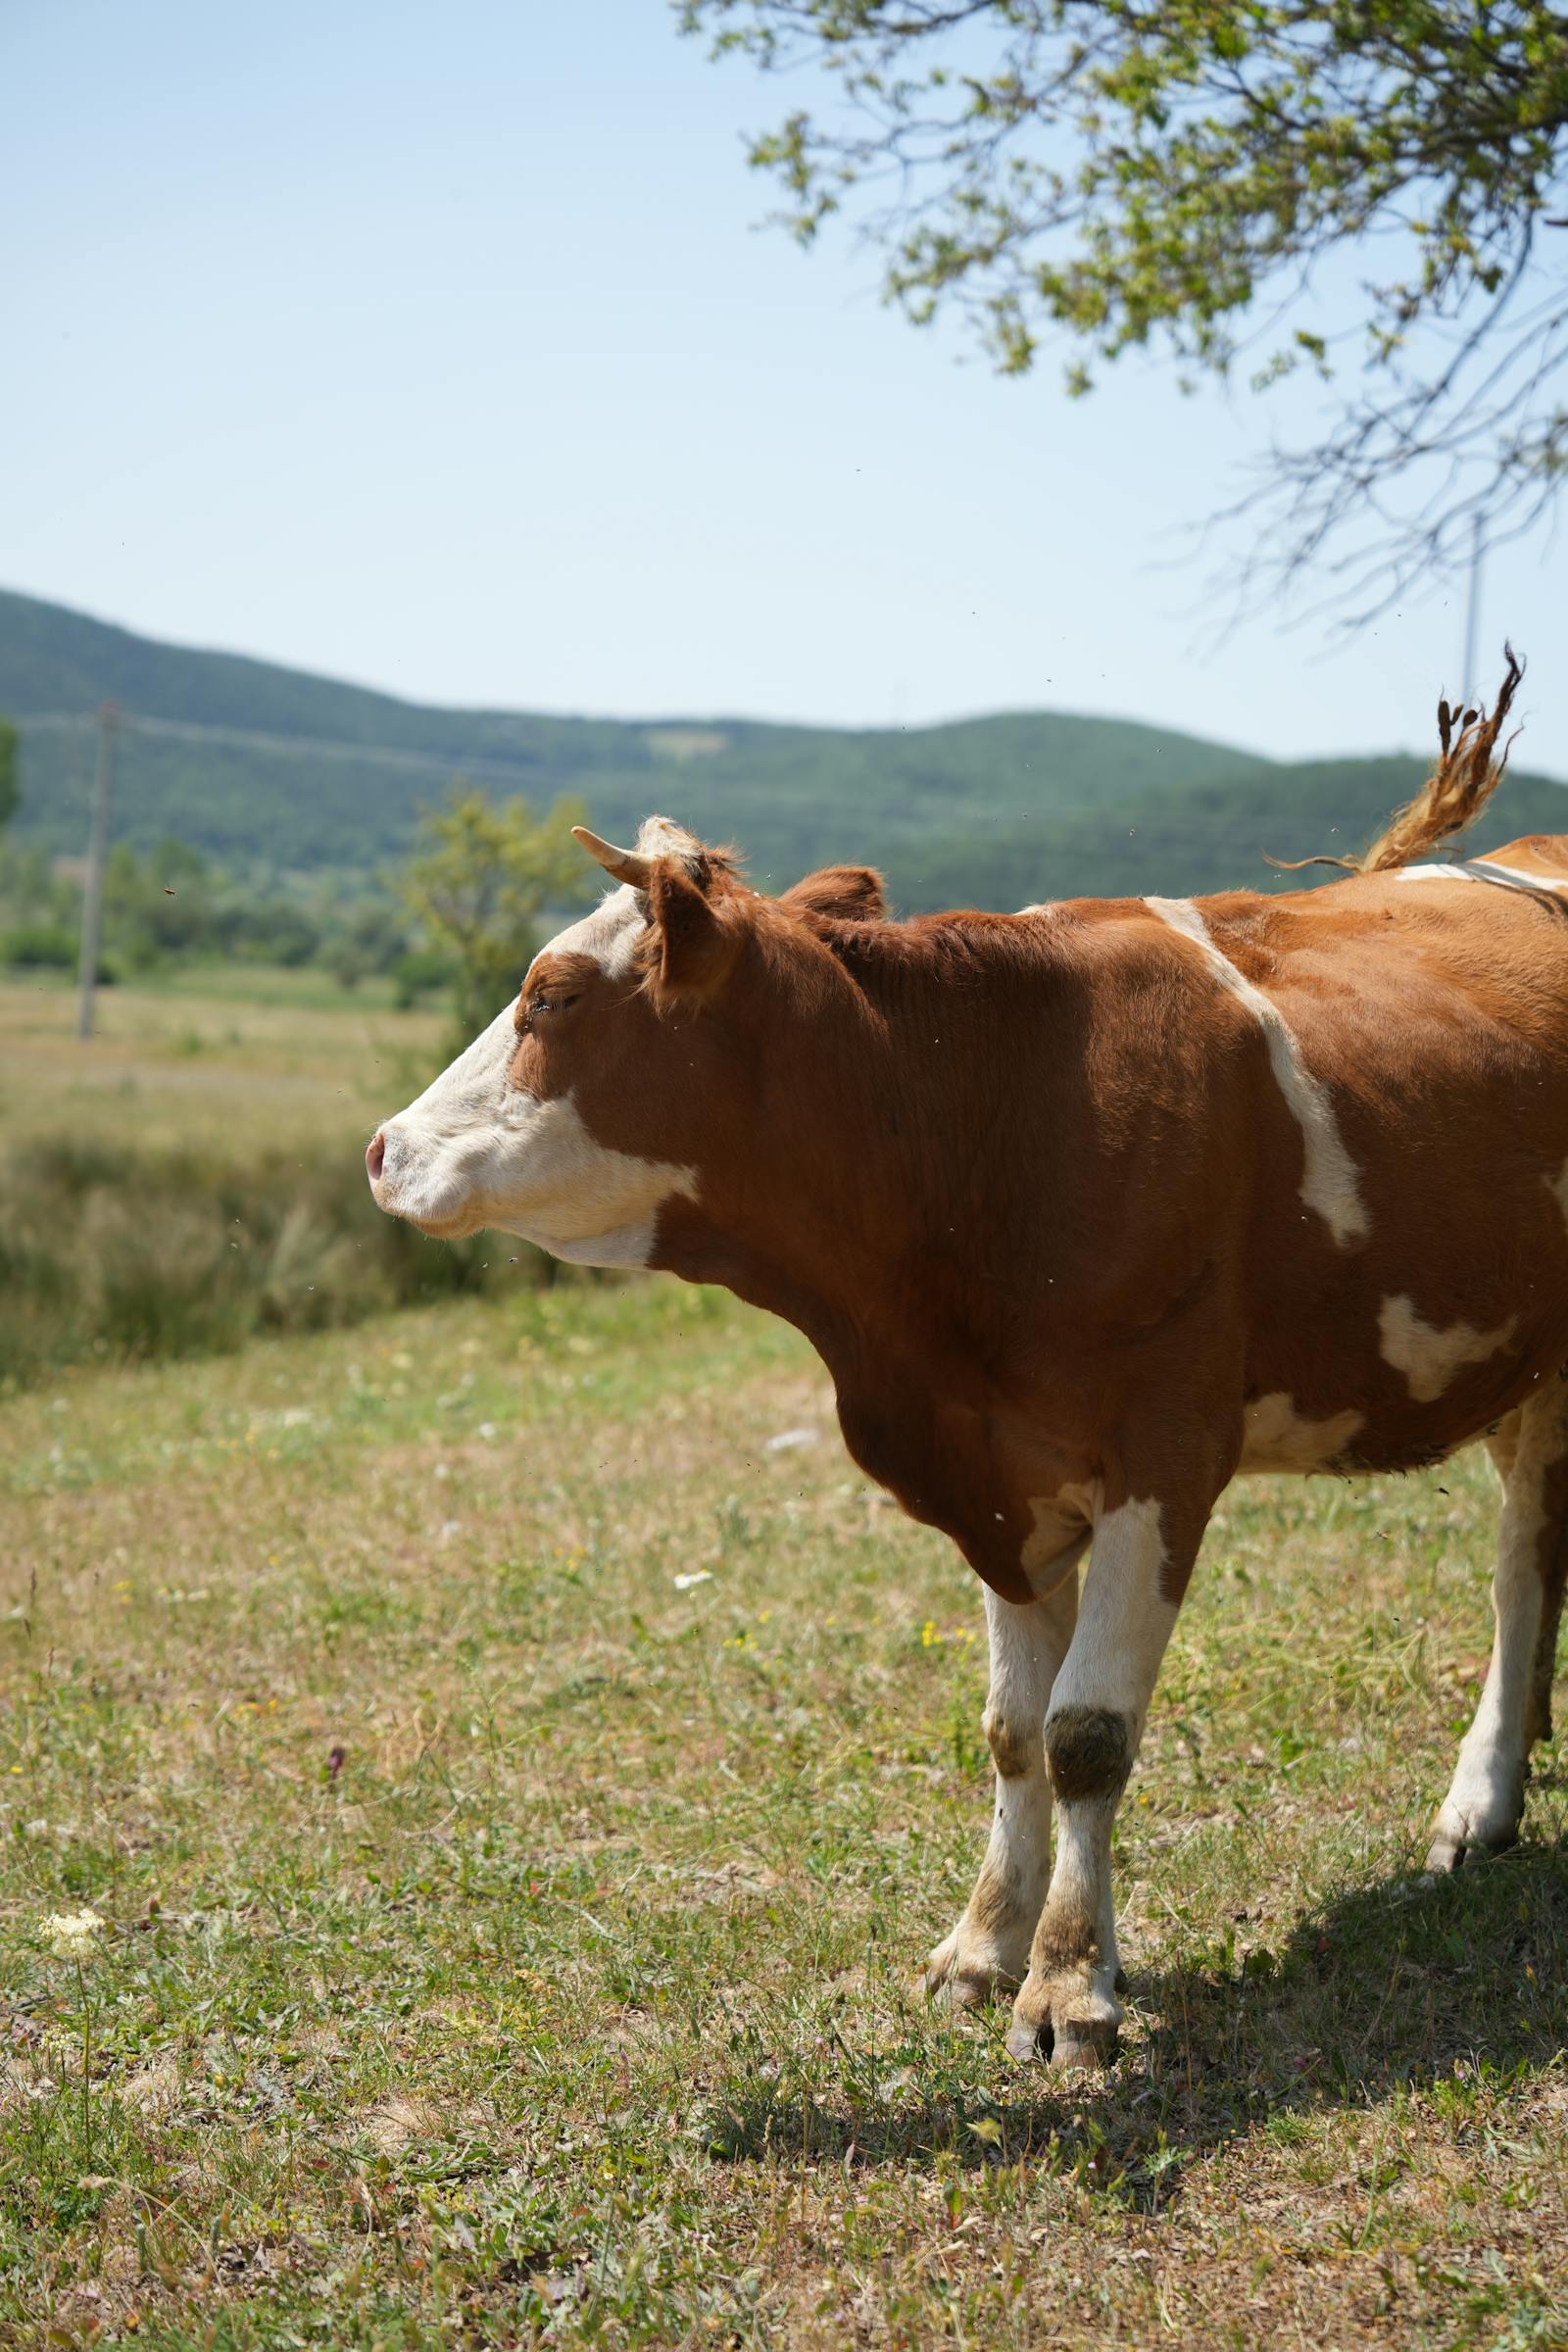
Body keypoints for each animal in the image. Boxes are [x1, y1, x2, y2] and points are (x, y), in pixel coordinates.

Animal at [367, 654, 1568, 2069]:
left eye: (548, 996)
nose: (384, 1149)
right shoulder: (1002, 1470)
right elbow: (1011, 1732)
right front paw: (985, 1945)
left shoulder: (1168, 1447)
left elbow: (1088, 1733)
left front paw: (1069, 1983)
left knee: (1519, 1563)